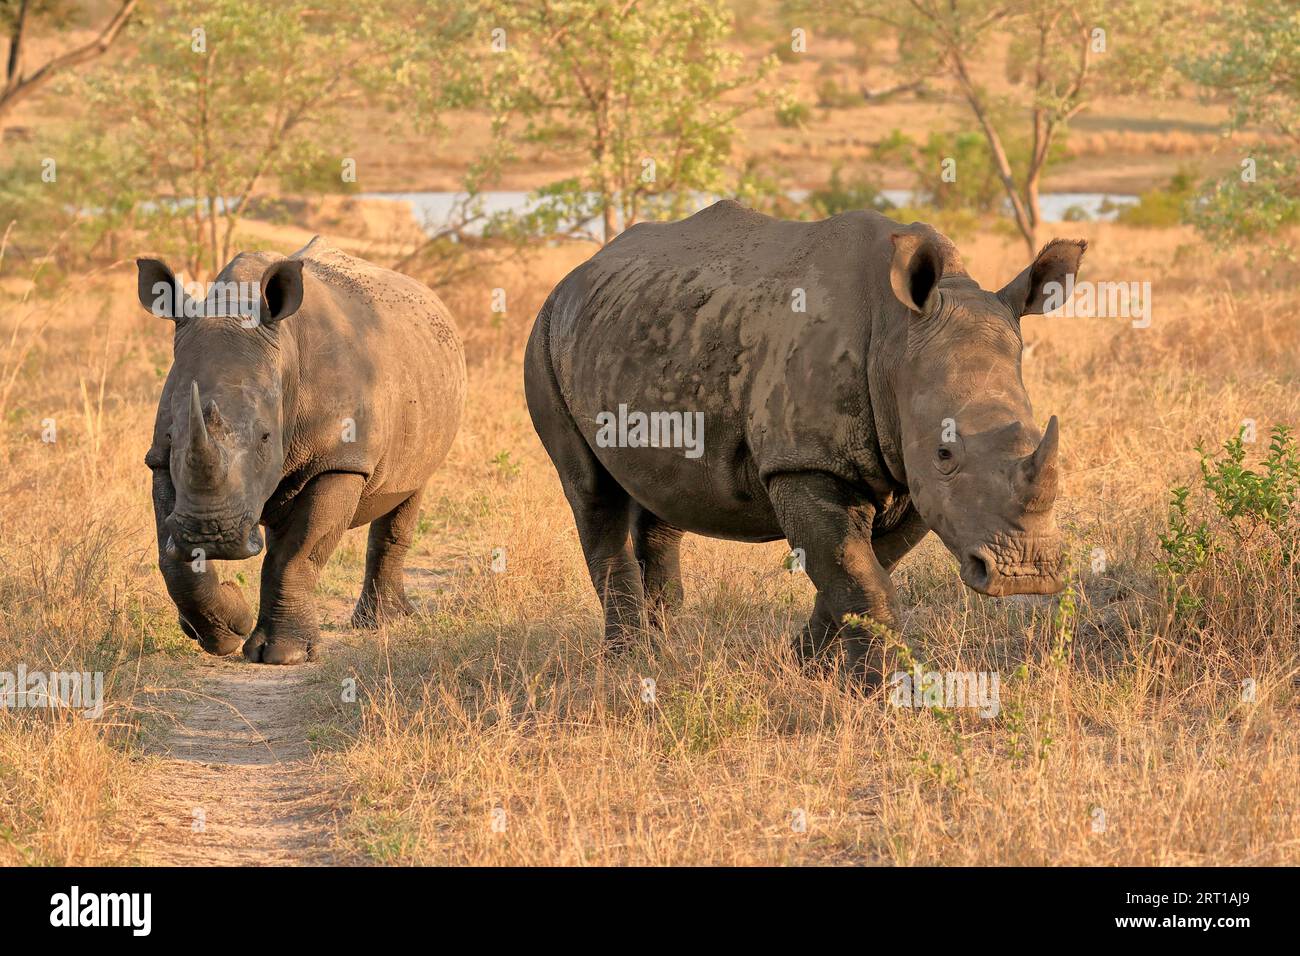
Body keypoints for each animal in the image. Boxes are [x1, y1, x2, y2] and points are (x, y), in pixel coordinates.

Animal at [138, 238, 465, 664]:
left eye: (265, 437)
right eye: (174, 436)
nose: (211, 534)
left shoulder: (339, 461)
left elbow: (298, 553)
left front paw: (285, 655)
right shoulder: (161, 459)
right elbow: (172, 558)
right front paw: (228, 627)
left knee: (409, 490)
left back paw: (381, 623)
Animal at [524, 201, 1080, 678]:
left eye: (1037, 437)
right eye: (945, 453)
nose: (1026, 573)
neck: (896, 337)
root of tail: (577, 274)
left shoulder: (913, 479)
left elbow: (862, 572)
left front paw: (804, 666)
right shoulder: (805, 461)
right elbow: (860, 577)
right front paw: (884, 690)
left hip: (636, 328)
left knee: (662, 498)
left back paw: (665, 653)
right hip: (545, 334)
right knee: (591, 493)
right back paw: (628, 664)